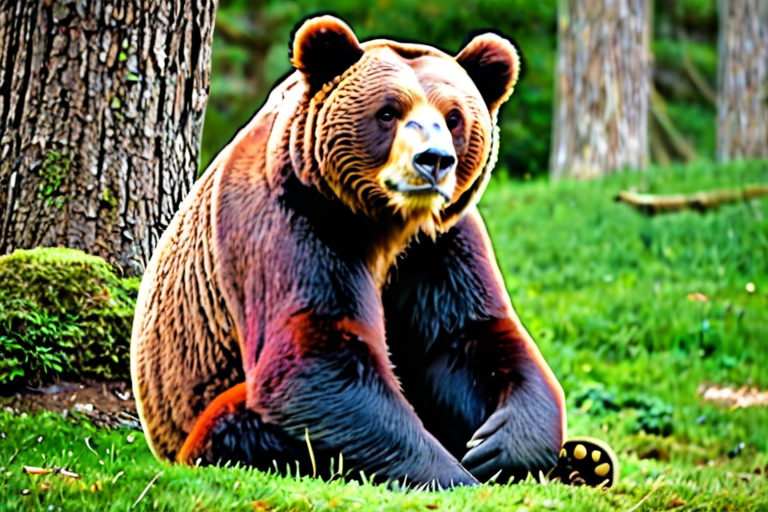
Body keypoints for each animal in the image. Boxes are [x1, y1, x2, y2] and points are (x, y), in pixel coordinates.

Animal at [130, 15, 566, 487]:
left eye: (453, 117)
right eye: (389, 112)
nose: (434, 160)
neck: (382, 225)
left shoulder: (439, 243)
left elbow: (465, 336)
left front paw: (497, 444)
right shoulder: (293, 222)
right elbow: (317, 353)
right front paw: (455, 474)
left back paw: (586, 456)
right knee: (234, 421)